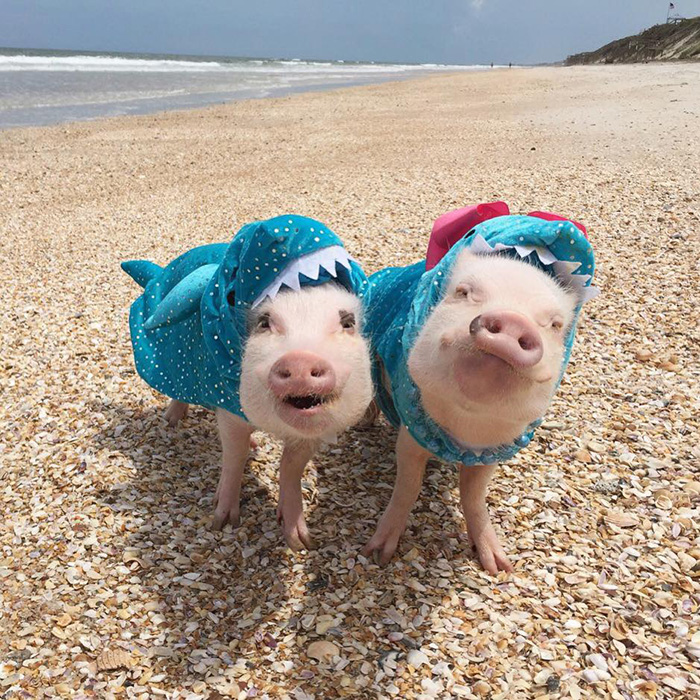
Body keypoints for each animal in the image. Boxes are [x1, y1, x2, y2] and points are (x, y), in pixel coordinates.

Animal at [123, 215, 373, 549]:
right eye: (265, 322)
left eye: (347, 322)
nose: (300, 360)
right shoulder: (230, 410)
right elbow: (235, 454)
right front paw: (222, 522)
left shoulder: (314, 432)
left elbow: (291, 467)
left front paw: (301, 542)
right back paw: (172, 421)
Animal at [361, 205, 597, 573]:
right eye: (463, 292)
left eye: (555, 324)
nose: (515, 320)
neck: (465, 427)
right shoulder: (412, 431)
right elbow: (408, 486)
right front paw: (378, 555)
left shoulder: (492, 450)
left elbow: (474, 496)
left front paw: (498, 566)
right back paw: (365, 423)